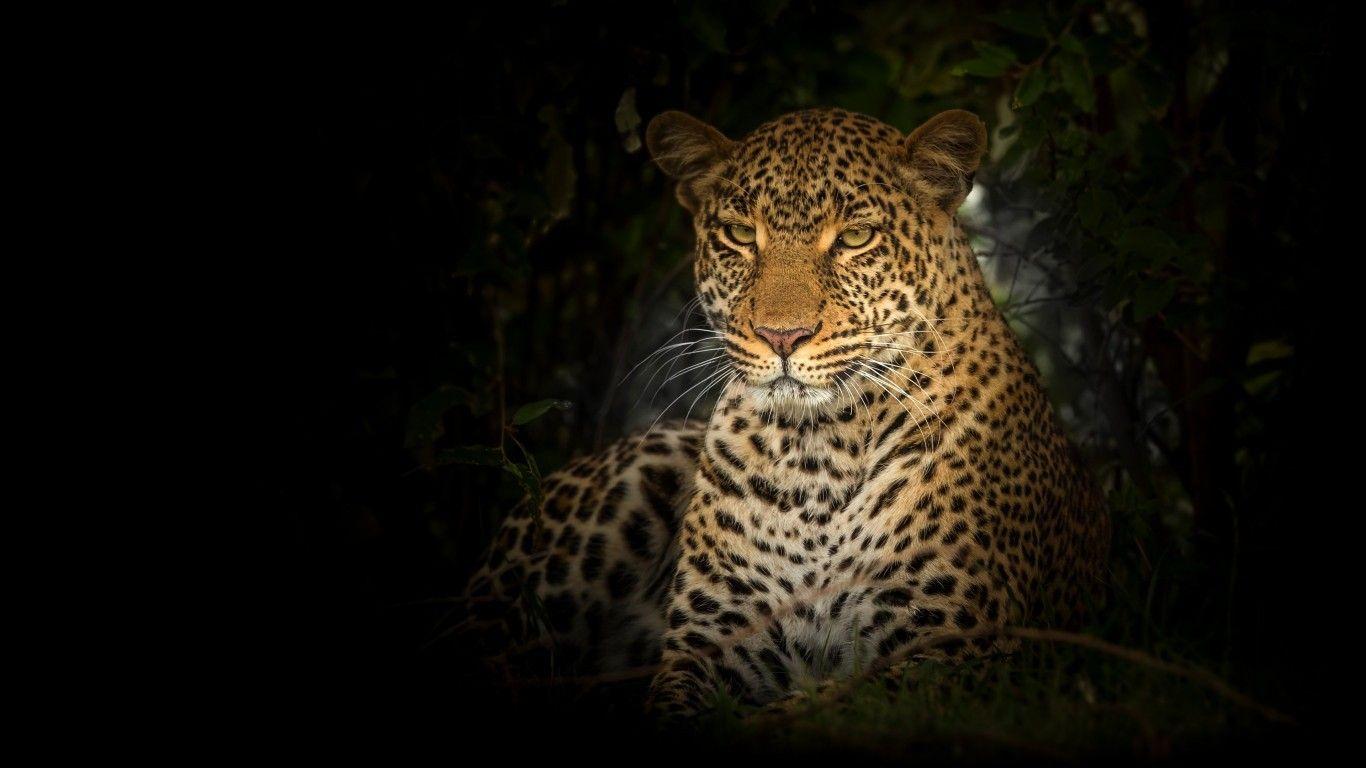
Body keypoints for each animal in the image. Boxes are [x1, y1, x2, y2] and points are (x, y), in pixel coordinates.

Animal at [459, 107, 1110, 719]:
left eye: (855, 238)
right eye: (740, 234)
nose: (782, 336)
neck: (819, 452)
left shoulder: (960, 653)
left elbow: (810, 708)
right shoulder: (715, 645)